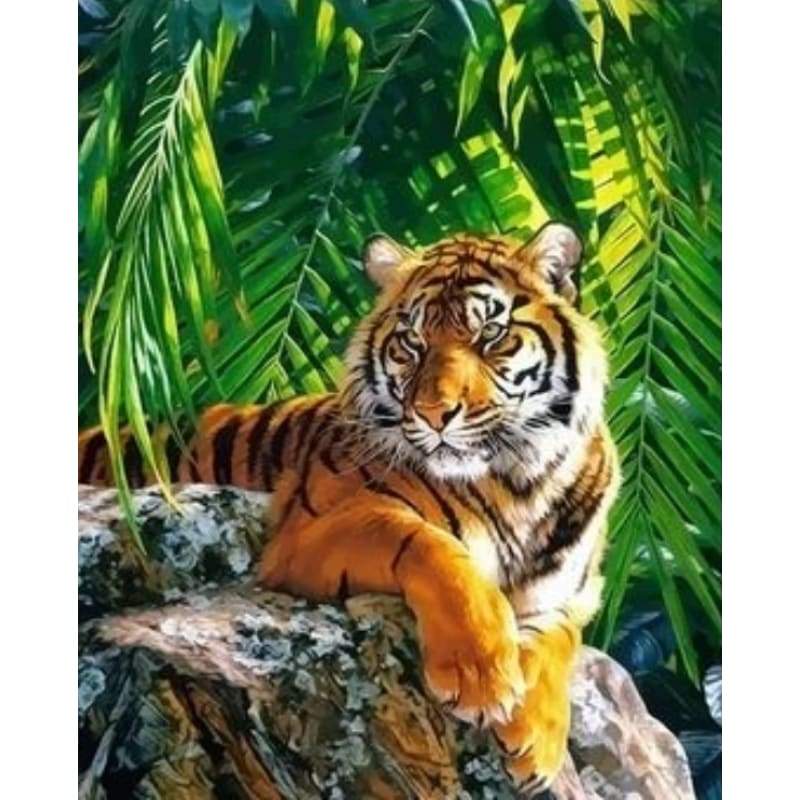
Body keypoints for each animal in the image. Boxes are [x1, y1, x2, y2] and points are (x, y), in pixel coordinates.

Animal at [79, 222, 619, 795]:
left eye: (490, 335)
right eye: (413, 342)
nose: (434, 414)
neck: (519, 480)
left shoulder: (571, 593)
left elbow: (558, 640)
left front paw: (537, 741)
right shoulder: (308, 530)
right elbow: (434, 548)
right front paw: (480, 677)